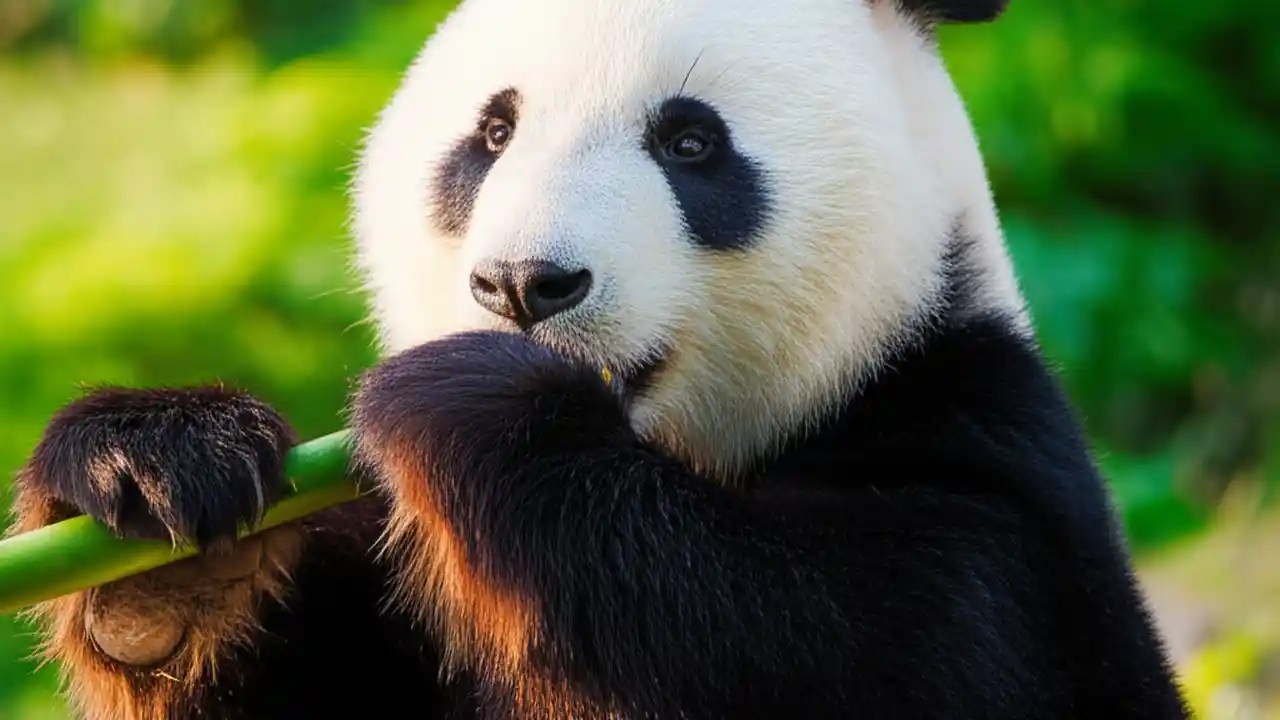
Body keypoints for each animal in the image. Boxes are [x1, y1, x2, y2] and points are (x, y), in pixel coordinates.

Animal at [10, 0, 1190, 718]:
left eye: (690, 143)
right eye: (490, 136)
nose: (523, 287)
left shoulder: (991, 474)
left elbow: (814, 630)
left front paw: (475, 406)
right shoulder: (397, 592)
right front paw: (161, 491)